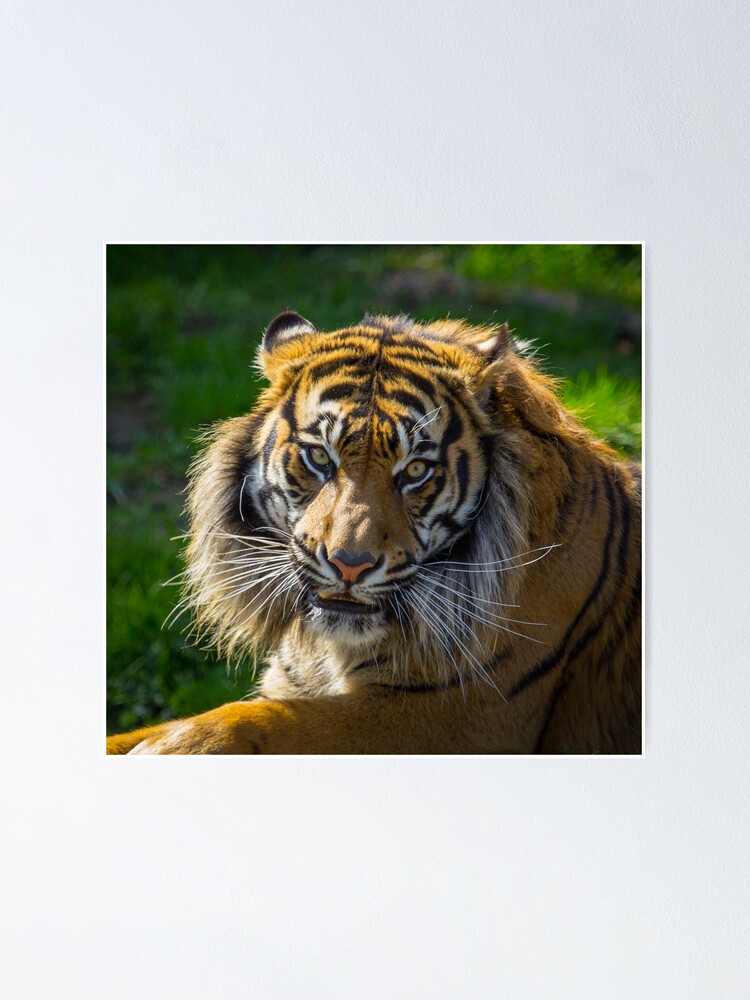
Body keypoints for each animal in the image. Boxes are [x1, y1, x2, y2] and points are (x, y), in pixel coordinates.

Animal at [107, 311, 642, 755]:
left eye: (416, 470)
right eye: (319, 457)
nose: (350, 565)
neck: (330, 648)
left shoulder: (457, 714)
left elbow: (272, 722)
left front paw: (174, 747)